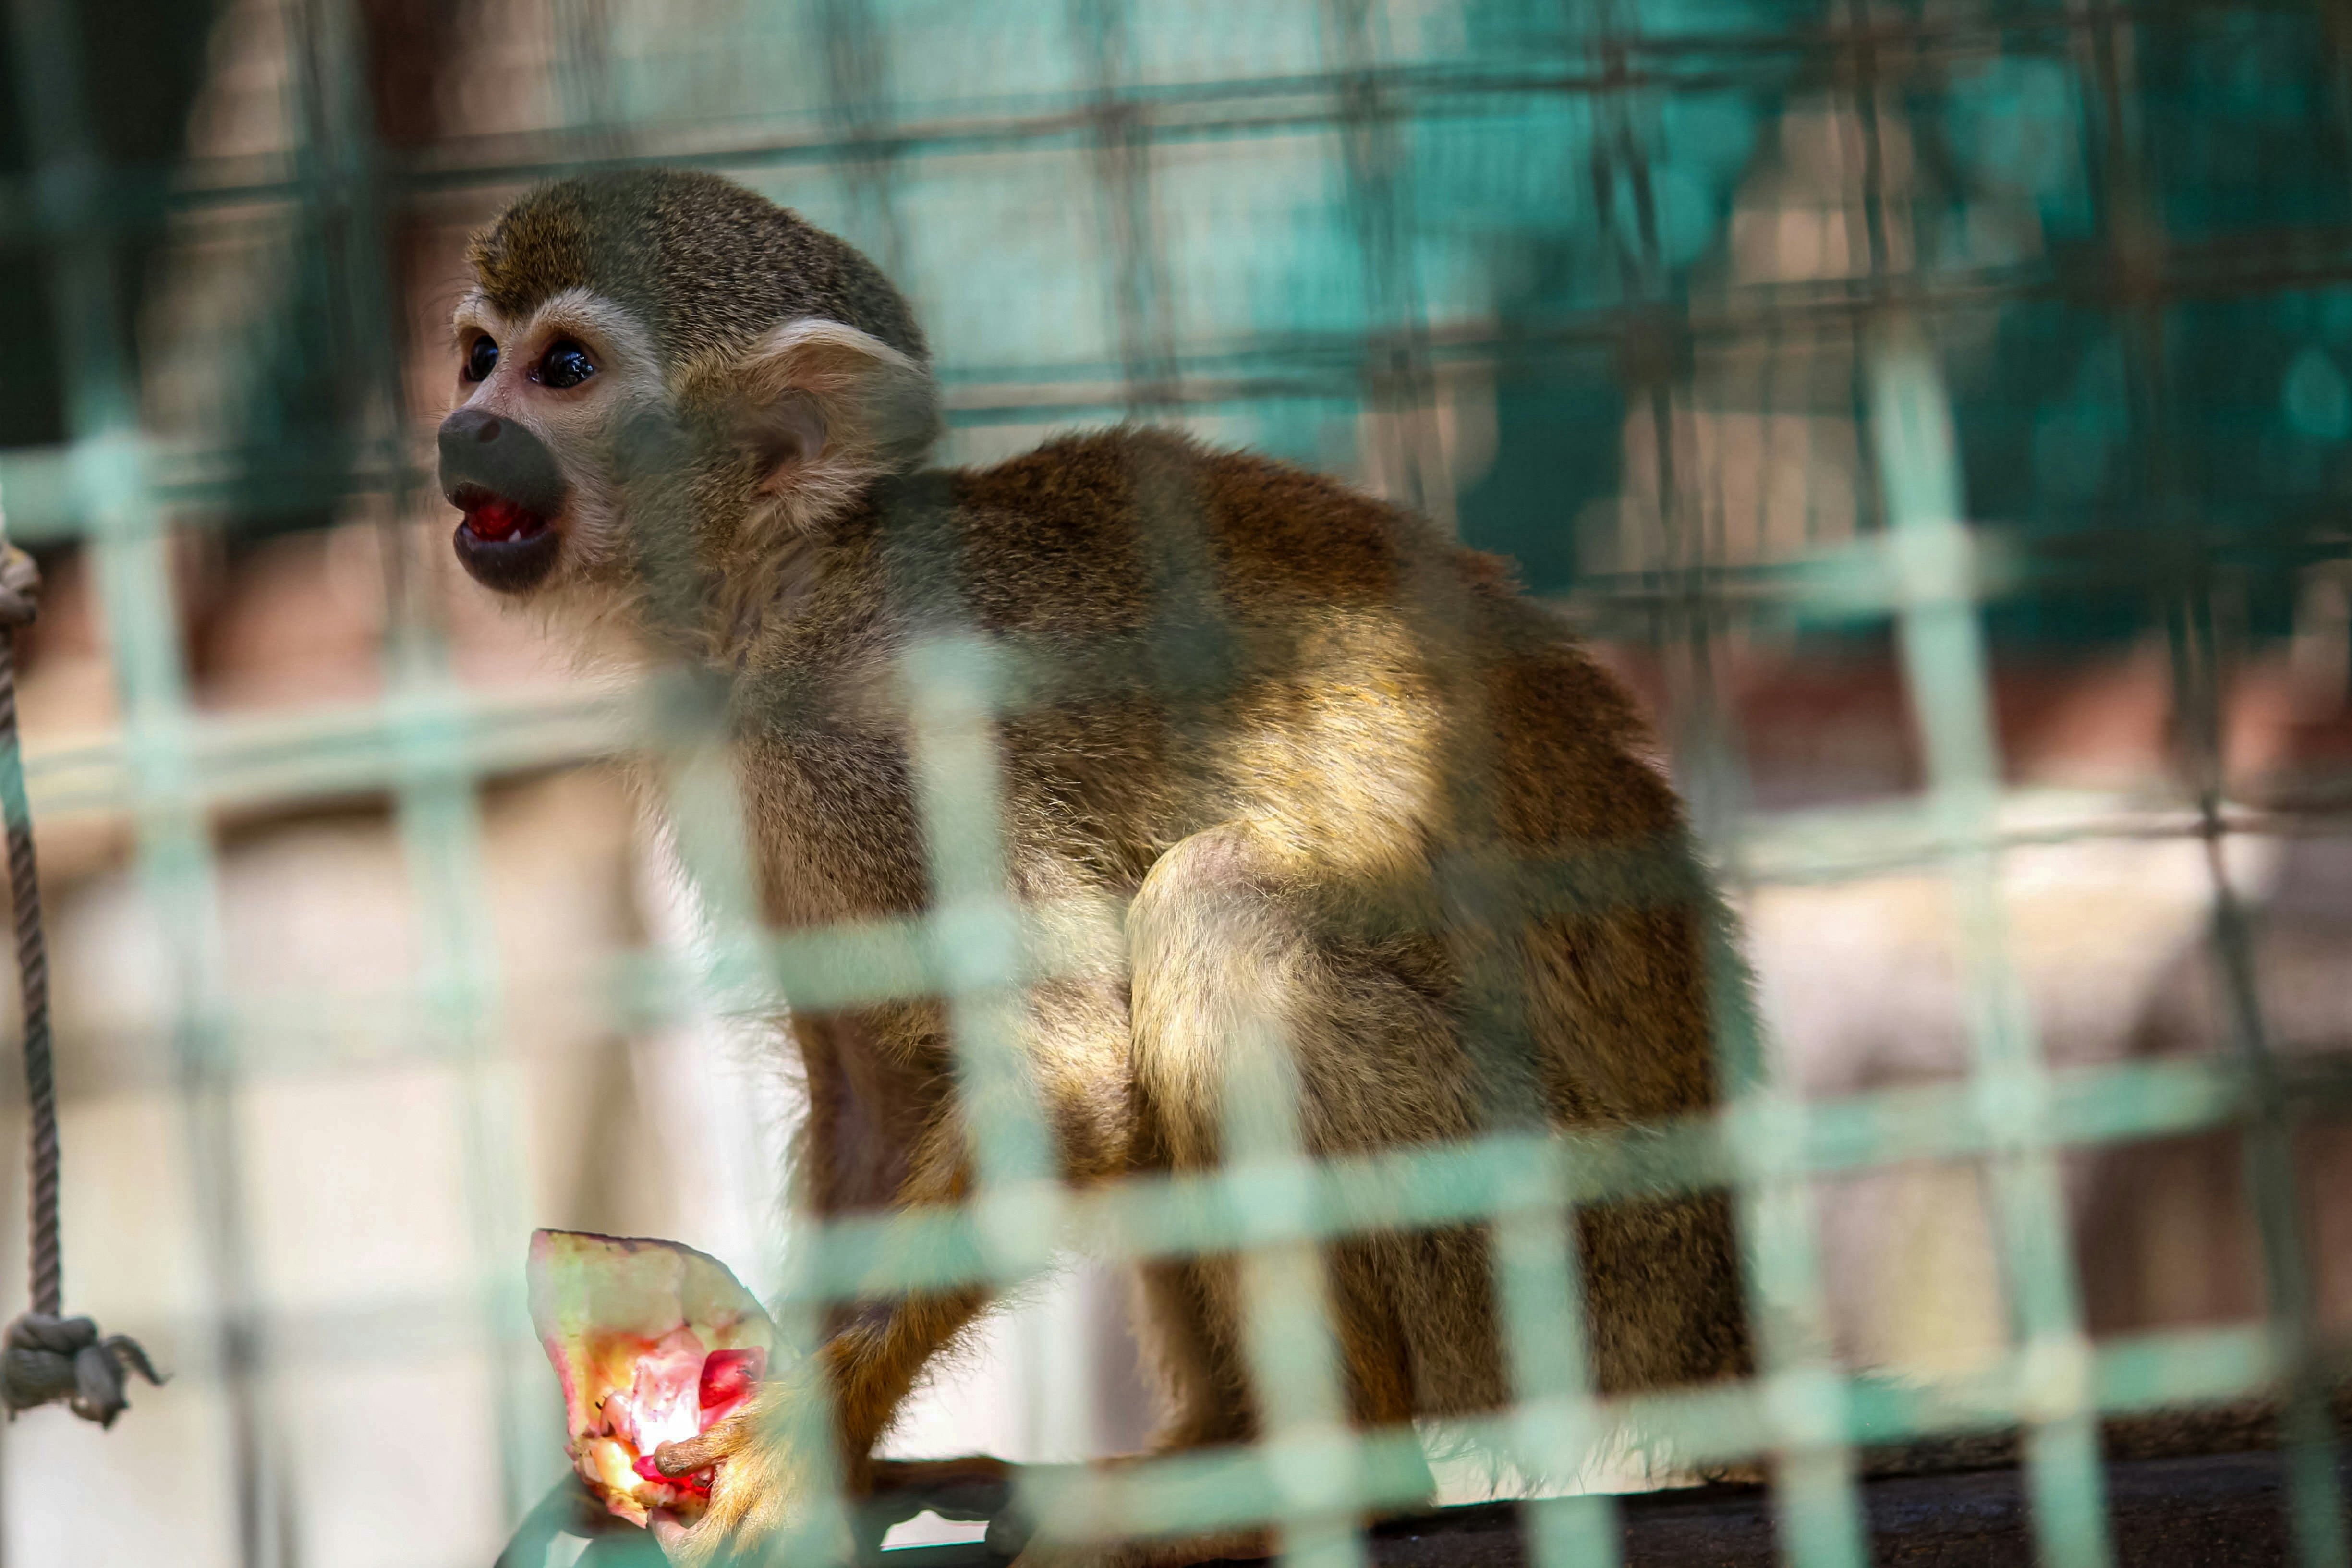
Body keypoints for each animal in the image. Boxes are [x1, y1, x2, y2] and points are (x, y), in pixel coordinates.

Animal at [440, 169, 1750, 1567]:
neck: (786, 583)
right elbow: (877, 1098)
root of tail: (1718, 1315)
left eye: (562, 368)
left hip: (1577, 1261)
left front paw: (799, 1439)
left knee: (1212, 911)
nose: (463, 428)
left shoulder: (867, 753)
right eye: (476, 354)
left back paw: (1329, 1469)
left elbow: (1069, 1072)